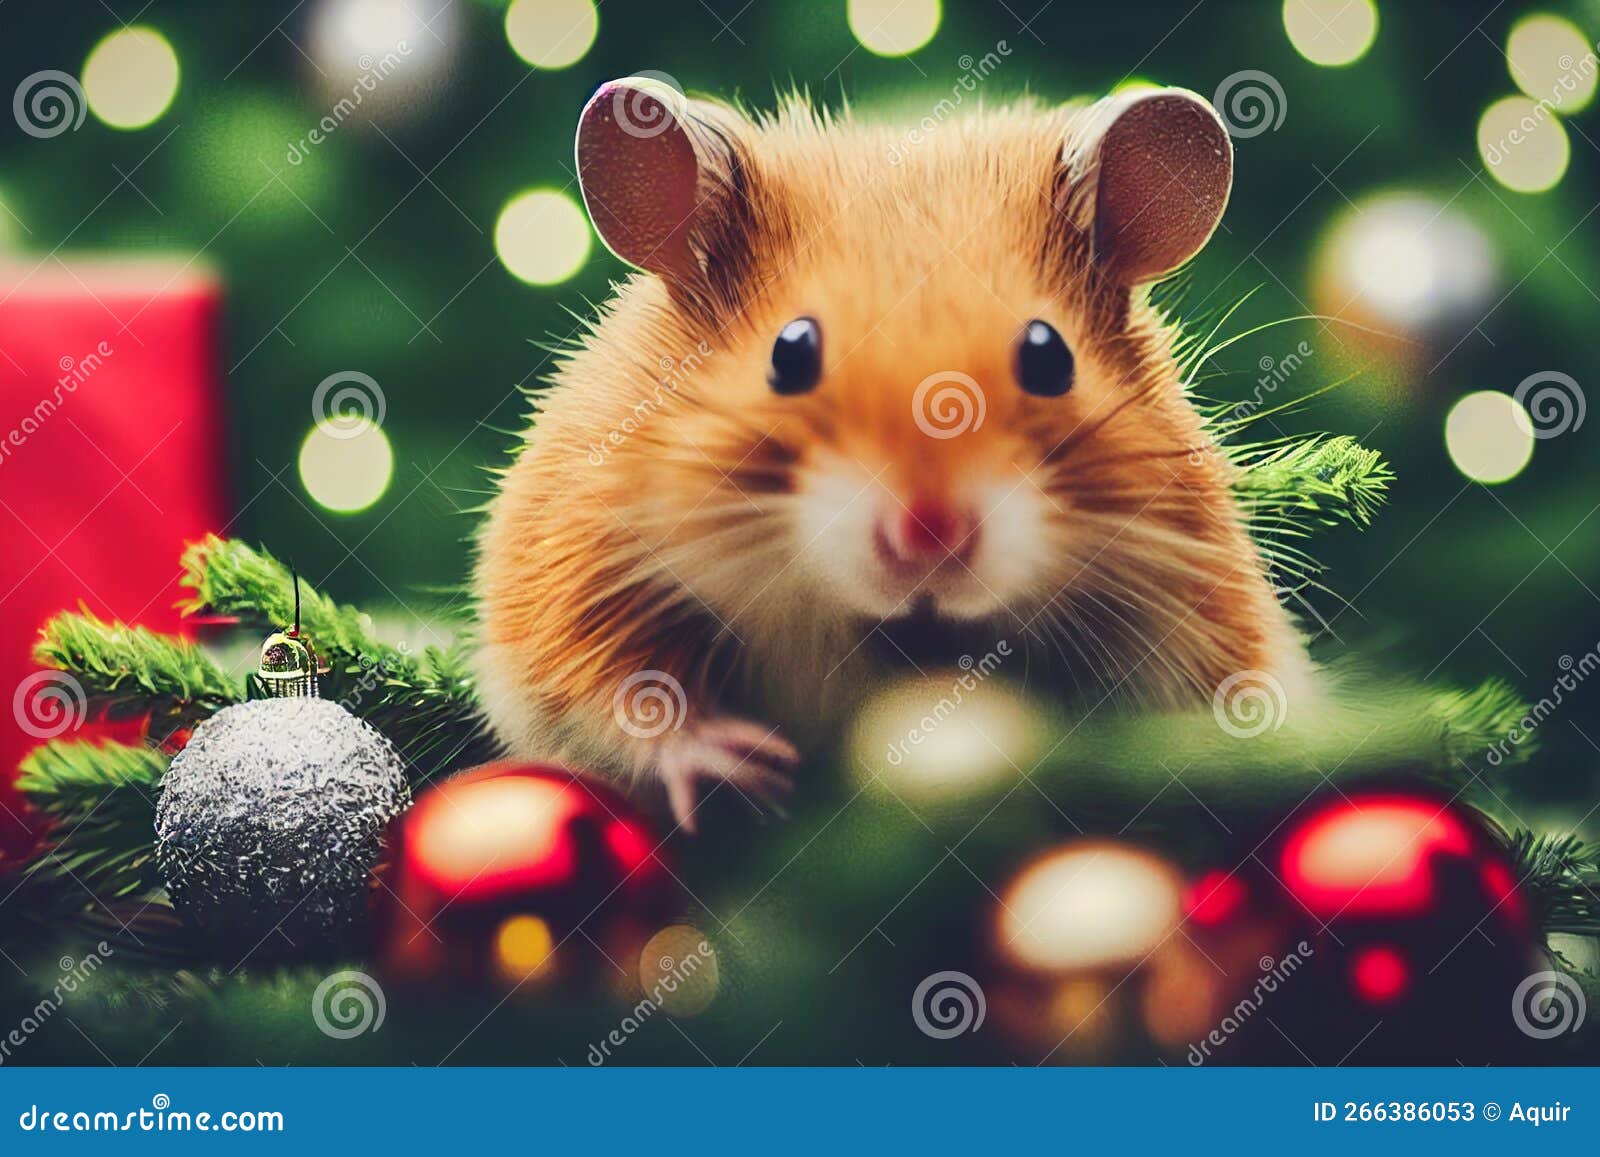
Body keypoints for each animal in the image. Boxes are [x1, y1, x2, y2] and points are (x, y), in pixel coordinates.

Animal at [473, 80, 1314, 831]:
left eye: (1049, 357)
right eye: (790, 352)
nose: (930, 539)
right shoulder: (576, 559)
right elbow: (619, 690)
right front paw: (743, 763)